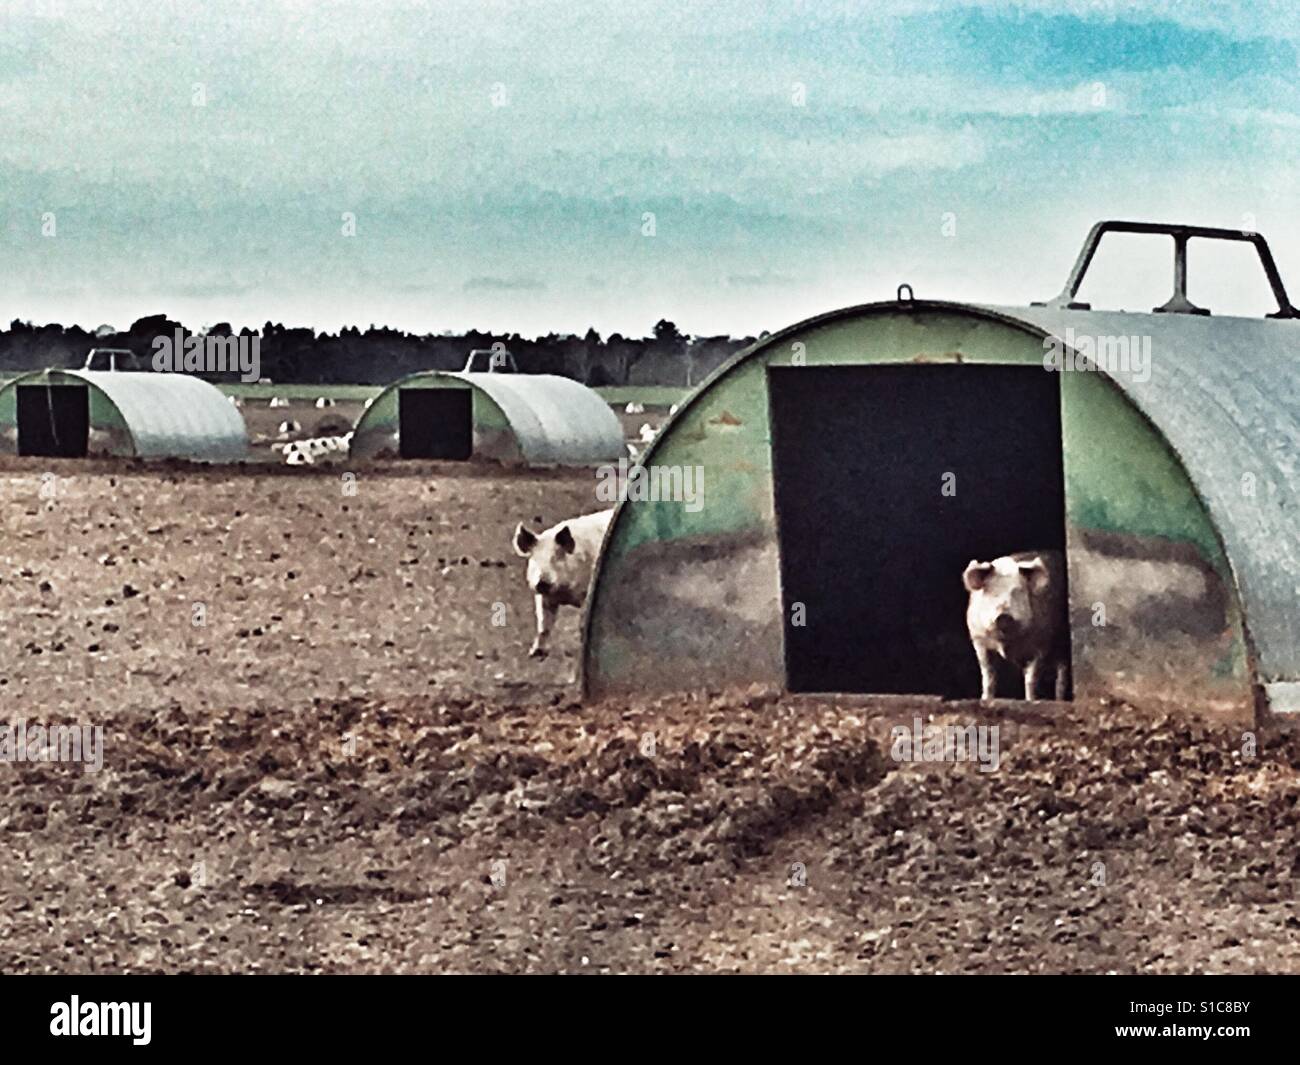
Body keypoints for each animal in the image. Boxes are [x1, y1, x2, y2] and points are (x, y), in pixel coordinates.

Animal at [512, 508, 614, 658]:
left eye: (556, 558)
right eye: (534, 559)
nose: (543, 582)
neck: (564, 594)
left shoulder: (587, 595)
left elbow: (582, 623)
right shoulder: (545, 598)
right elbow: (543, 623)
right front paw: (535, 653)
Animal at [962, 549, 1069, 701]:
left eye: (1017, 591)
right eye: (991, 591)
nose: (1003, 615)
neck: (1006, 643)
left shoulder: (1042, 643)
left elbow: (1031, 678)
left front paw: (1031, 700)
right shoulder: (979, 641)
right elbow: (988, 675)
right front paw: (985, 699)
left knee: (1062, 674)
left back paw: (1059, 699)